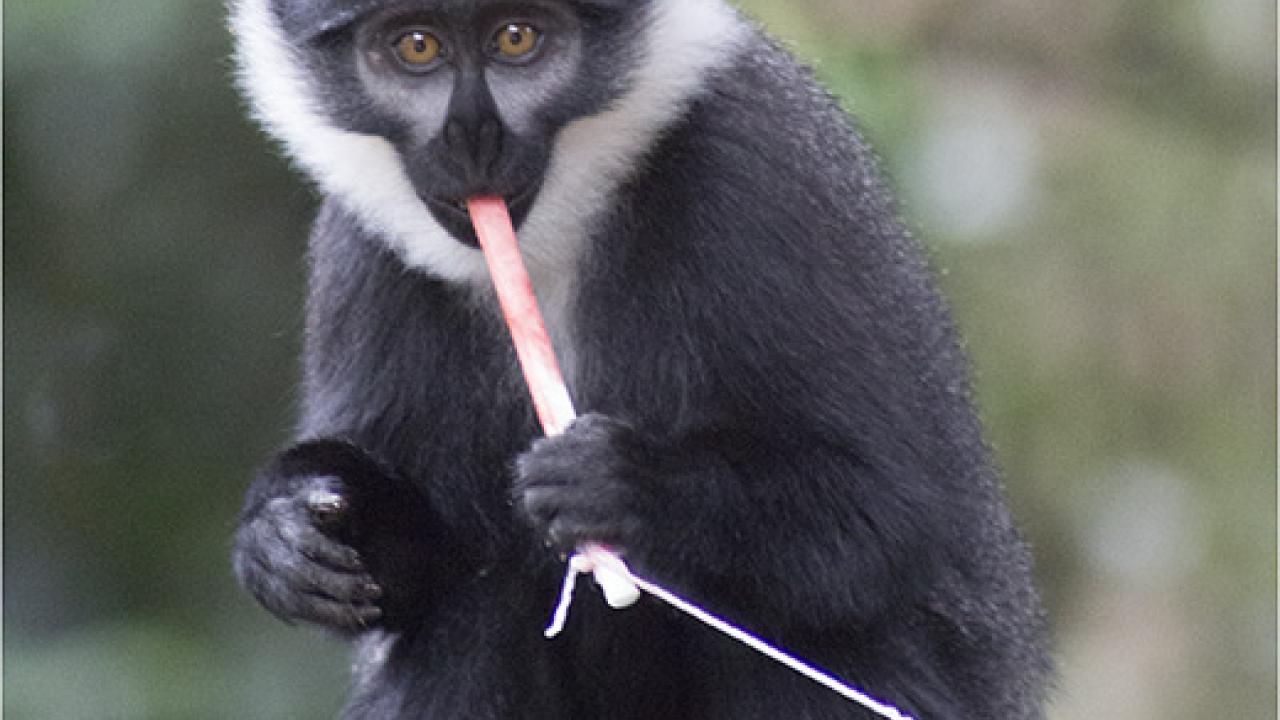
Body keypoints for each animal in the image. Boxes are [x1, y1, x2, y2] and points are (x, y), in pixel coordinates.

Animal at [228, 0, 1052, 717]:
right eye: (417, 47)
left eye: (517, 37)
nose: (471, 136)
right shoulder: (360, 249)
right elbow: (431, 567)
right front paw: (285, 530)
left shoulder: (756, 169)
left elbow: (883, 511)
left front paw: (623, 481)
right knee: (479, 604)